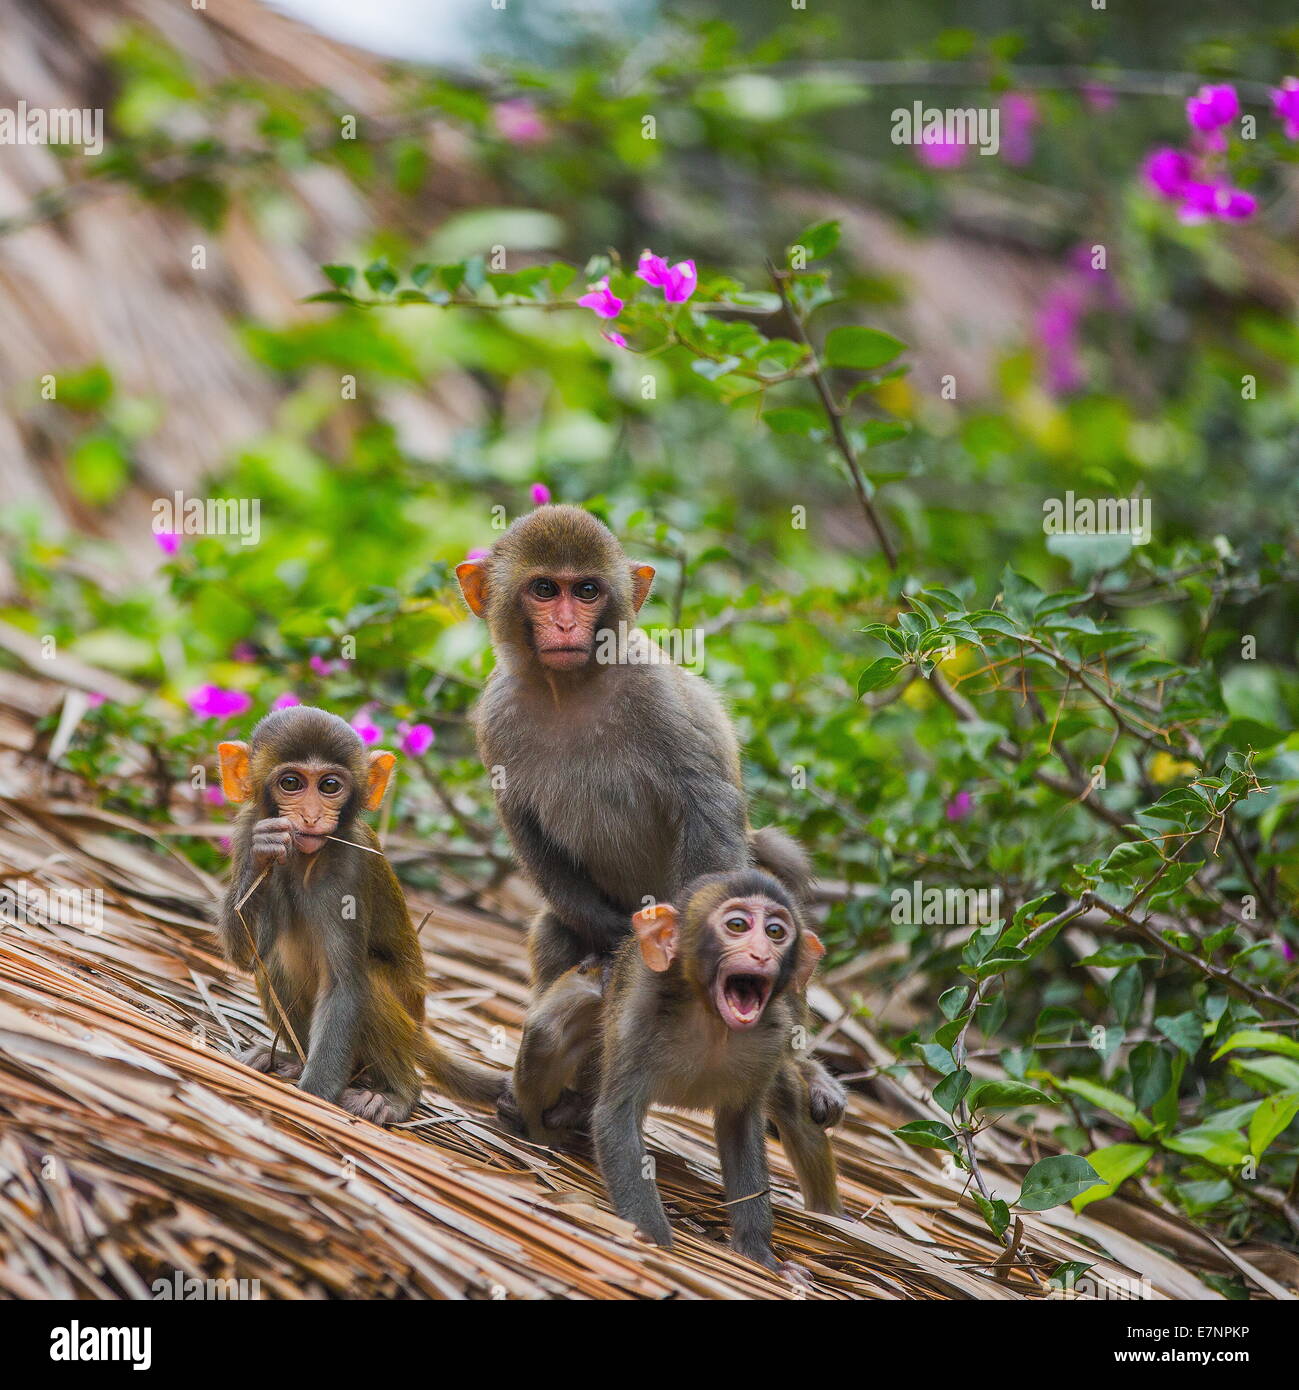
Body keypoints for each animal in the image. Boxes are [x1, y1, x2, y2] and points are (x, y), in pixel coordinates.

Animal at [215, 705, 506, 1124]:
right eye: (291, 783)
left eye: (329, 786)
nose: (309, 817)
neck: (309, 859)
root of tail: (420, 1027)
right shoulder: (246, 829)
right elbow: (248, 956)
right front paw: (265, 851)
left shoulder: (350, 866)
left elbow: (345, 985)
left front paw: (313, 1098)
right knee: (276, 961)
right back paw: (294, 1060)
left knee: (367, 979)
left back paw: (399, 1094)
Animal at [455, 505, 845, 1165]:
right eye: (545, 589)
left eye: (586, 591)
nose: (566, 623)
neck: (571, 688)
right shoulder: (495, 717)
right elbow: (533, 840)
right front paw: (617, 950)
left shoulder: (656, 696)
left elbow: (708, 811)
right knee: (556, 929)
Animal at [593, 870, 839, 1276]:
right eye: (737, 925)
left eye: (775, 932)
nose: (761, 953)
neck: (711, 1018)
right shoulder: (638, 1014)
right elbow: (617, 1115)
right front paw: (649, 1233)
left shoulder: (771, 1037)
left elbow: (741, 1123)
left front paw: (758, 1251)